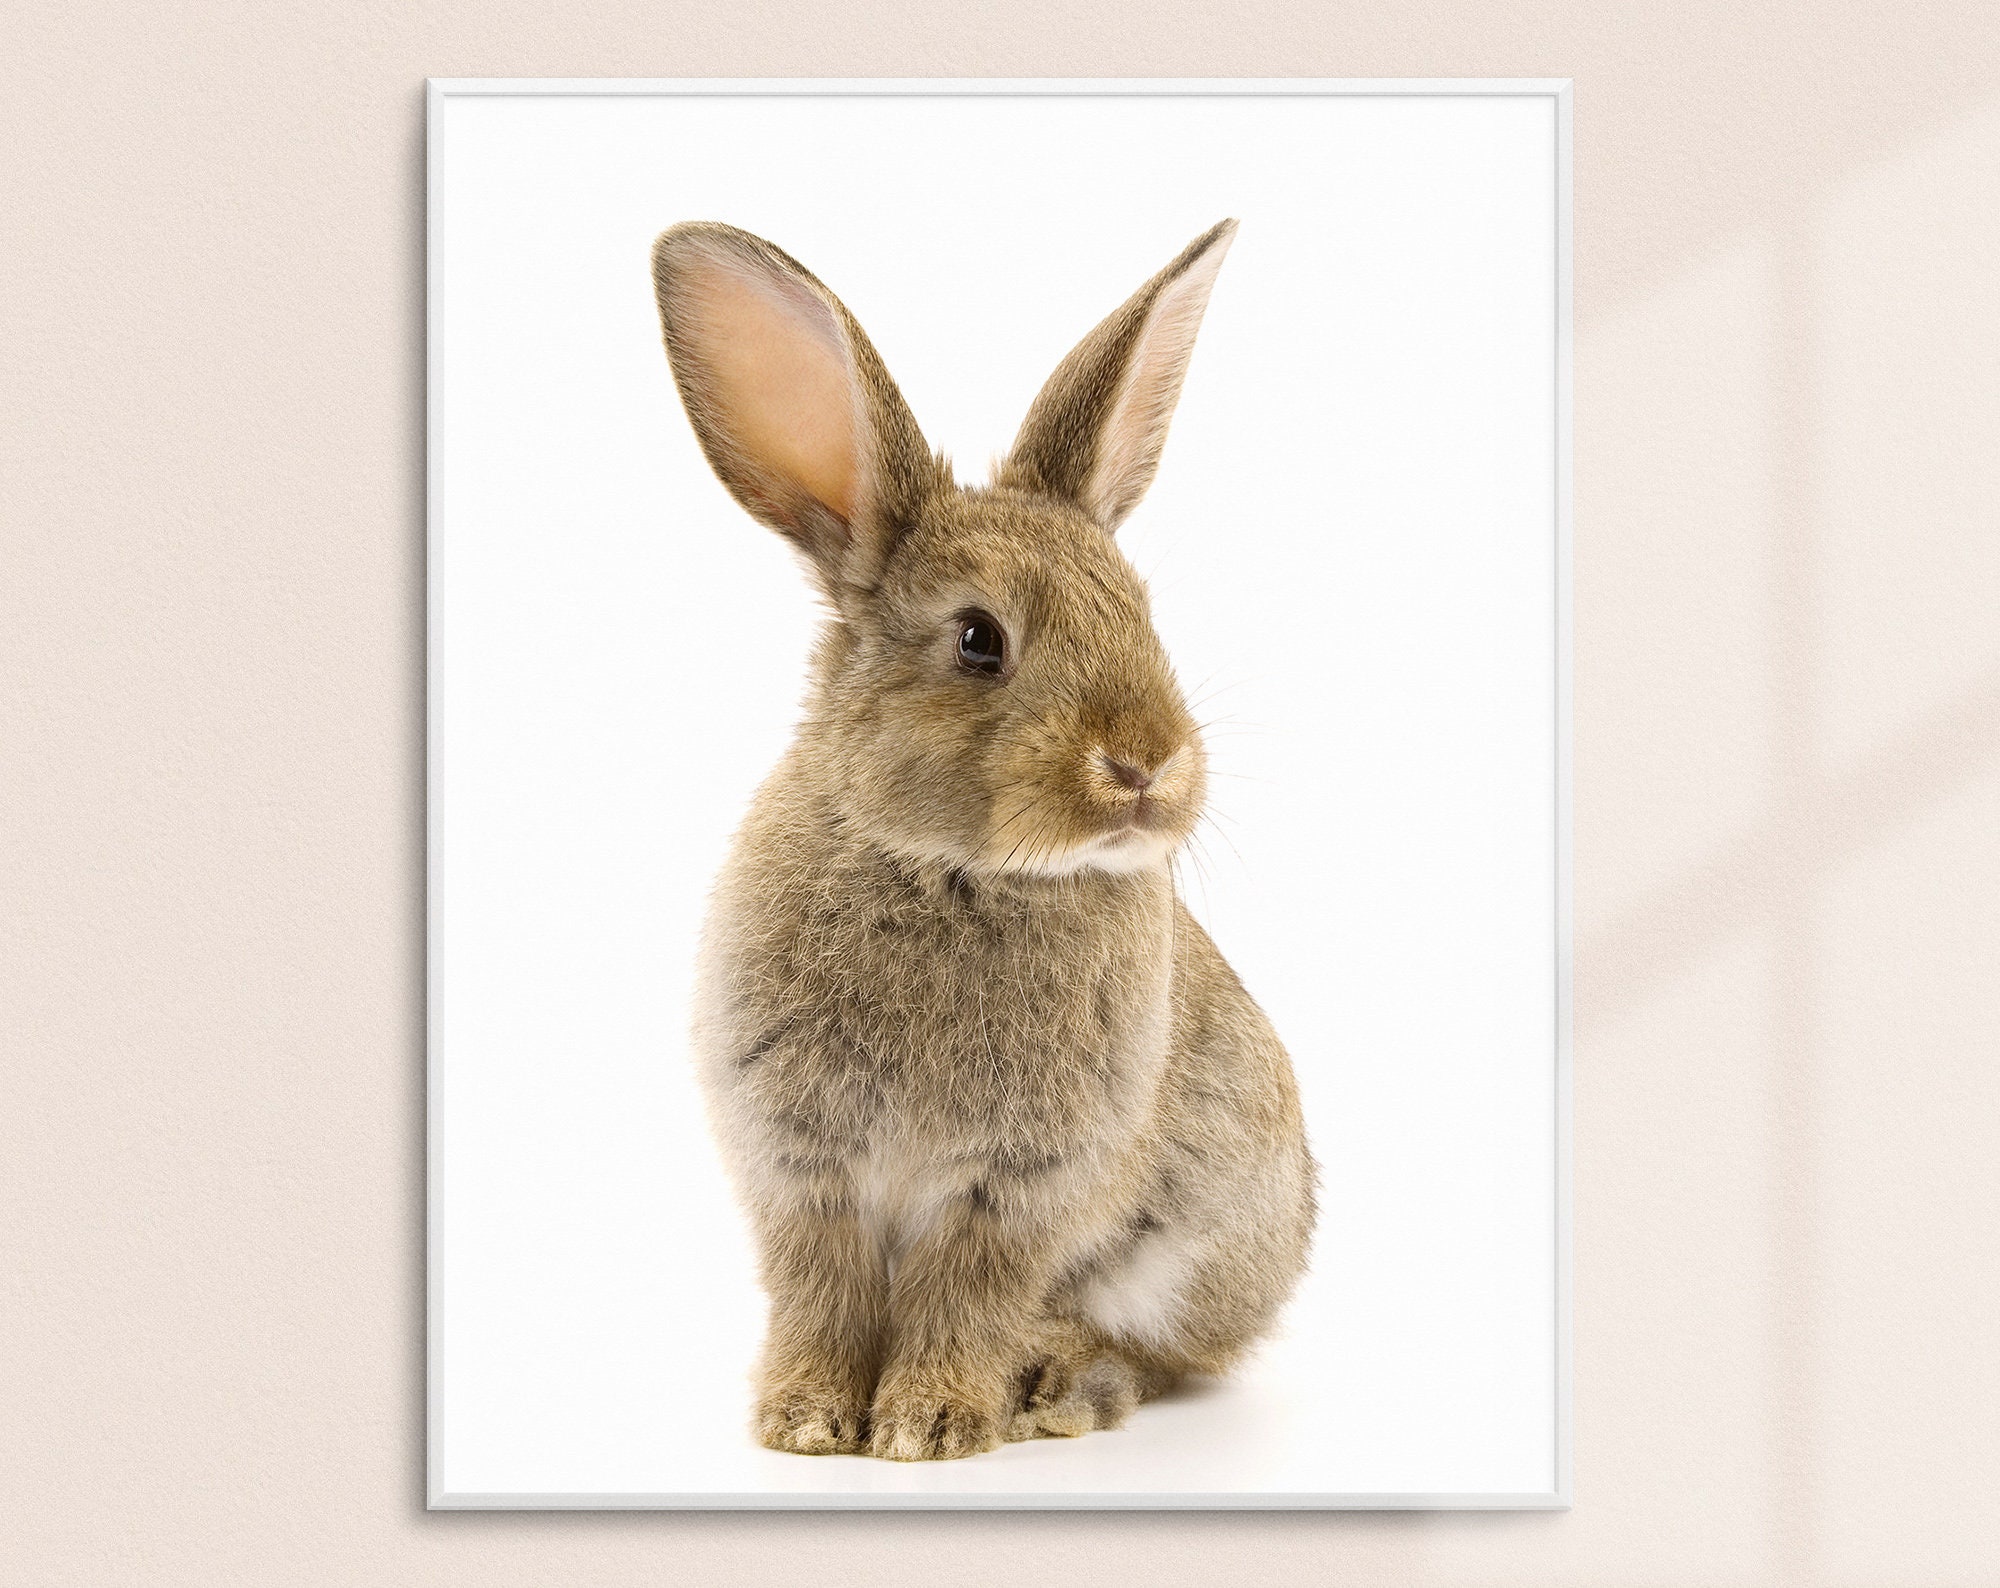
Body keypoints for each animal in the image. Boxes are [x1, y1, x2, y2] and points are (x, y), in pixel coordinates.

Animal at [649, 218, 1316, 1462]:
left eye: (1140, 614)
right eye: (976, 639)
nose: (1144, 764)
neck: (950, 870)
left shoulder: (1016, 1187)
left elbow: (966, 1293)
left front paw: (927, 1423)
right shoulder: (802, 1167)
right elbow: (820, 1288)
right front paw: (806, 1420)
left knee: (1158, 1351)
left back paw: (1057, 1383)